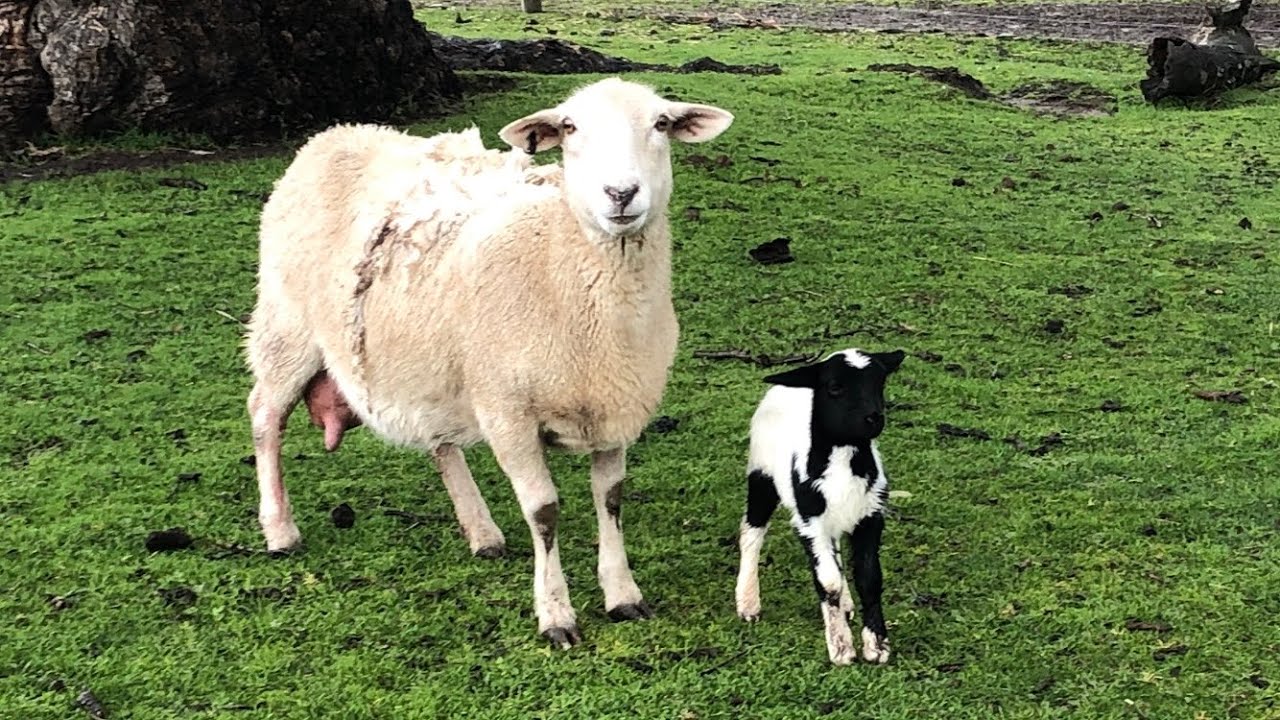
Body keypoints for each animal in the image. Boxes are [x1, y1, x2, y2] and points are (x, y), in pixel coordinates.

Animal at [244, 77, 734, 648]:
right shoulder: (508, 414)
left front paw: (623, 596)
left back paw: (481, 531)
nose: (620, 194)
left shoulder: (614, 409)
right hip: (287, 326)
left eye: (660, 123)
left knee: (439, 440)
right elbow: (544, 511)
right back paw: (280, 530)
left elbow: (610, 500)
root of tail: (334, 135)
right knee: (265, 416)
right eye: (570, 127)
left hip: (433, 358)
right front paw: (556, 614)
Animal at [734, 348, 905, 665]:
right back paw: (748, 602)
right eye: (835, 387)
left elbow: (869, 578)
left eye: (880, 382)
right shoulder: (809, 521)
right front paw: (841, 647)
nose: (874, 418)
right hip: (761, 475)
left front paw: (876, 646)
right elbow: (828, 582)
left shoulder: (870, 515)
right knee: (752, 532)